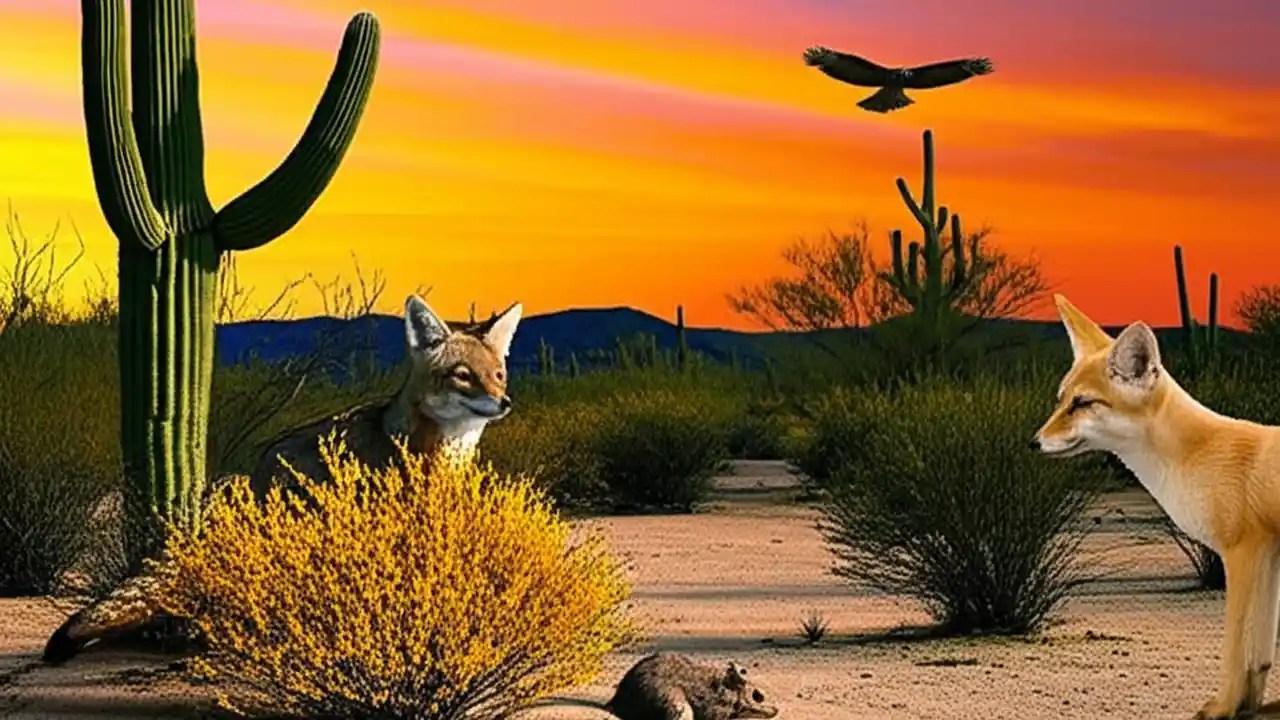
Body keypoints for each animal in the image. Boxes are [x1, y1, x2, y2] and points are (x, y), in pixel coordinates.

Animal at [1034, 294, 1280, 720]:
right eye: (1062, 400)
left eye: (1082, 403)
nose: (1034, 442)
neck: (1195, 455)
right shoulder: (1268, 556)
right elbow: (1259, 658)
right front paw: (1247, 708)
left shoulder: (1243, 554)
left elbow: (1237, 651)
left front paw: (1223, 708)